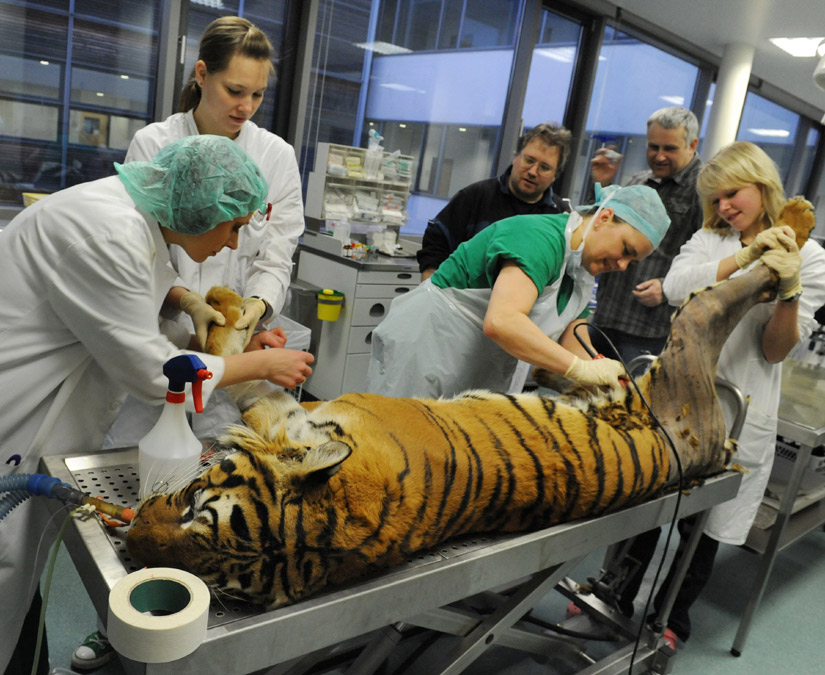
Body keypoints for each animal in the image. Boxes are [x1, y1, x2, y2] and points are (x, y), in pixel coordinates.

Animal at [126, 197, 815, 610]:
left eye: (195, 511)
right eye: (210, 579)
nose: (131, 542)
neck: (347, 509)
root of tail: (711, 448)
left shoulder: (293, 413)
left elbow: (233, 364)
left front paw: (223, 308)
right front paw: (223, 308)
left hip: (685, 354)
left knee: (717, 296)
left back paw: (789, 234)